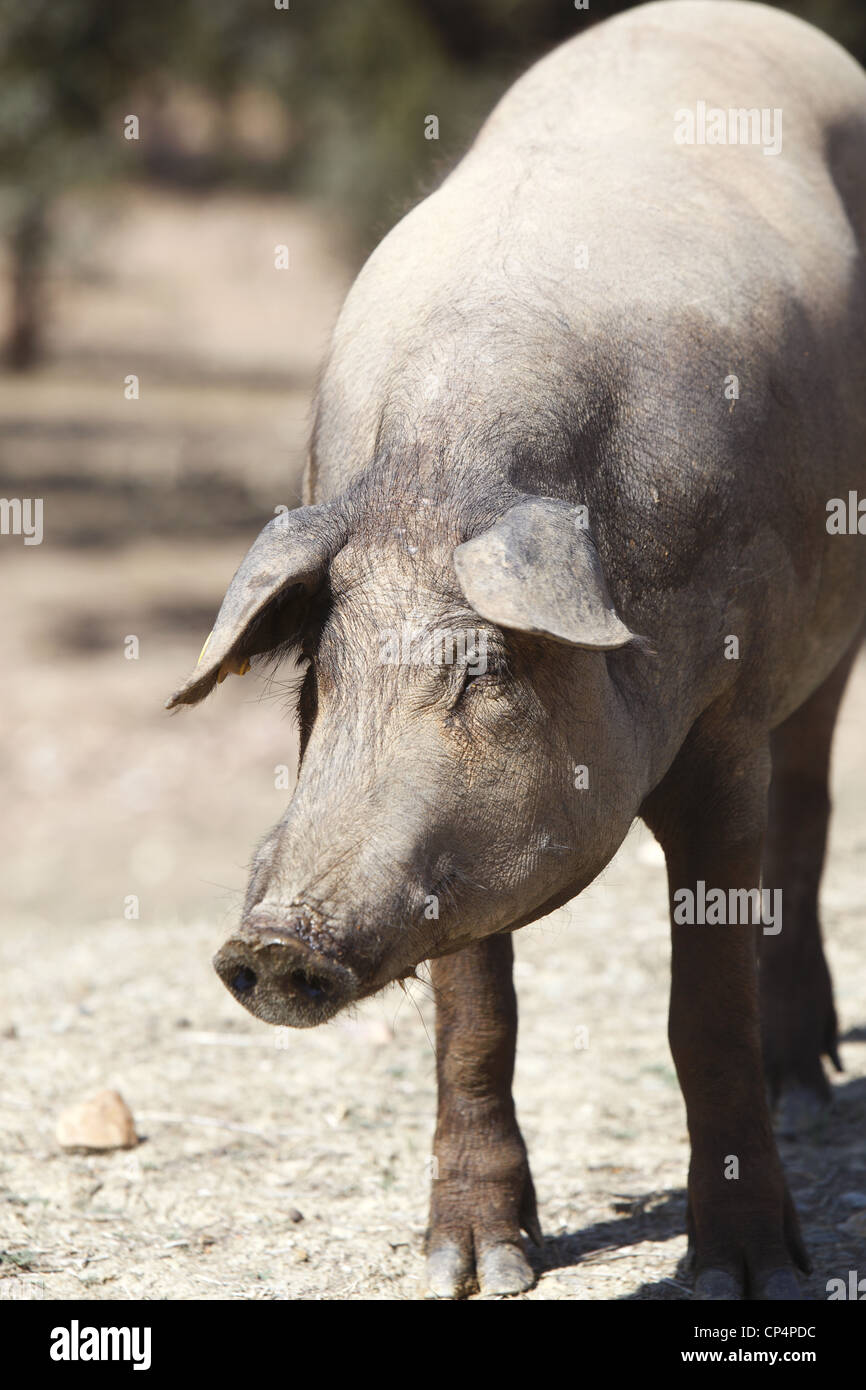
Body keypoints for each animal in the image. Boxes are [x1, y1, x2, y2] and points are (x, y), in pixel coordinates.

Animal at [168, 0, 866, 1299]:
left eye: (483, 672)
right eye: (317, 684)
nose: (272, 941)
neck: (439, 473)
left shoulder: (723, 717)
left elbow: (702, 1008)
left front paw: (741, 1277)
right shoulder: (450, 852)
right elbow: (473, 1015)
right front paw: (472, 1267)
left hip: (830, 630)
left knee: (806, 813)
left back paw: (807, 1086)